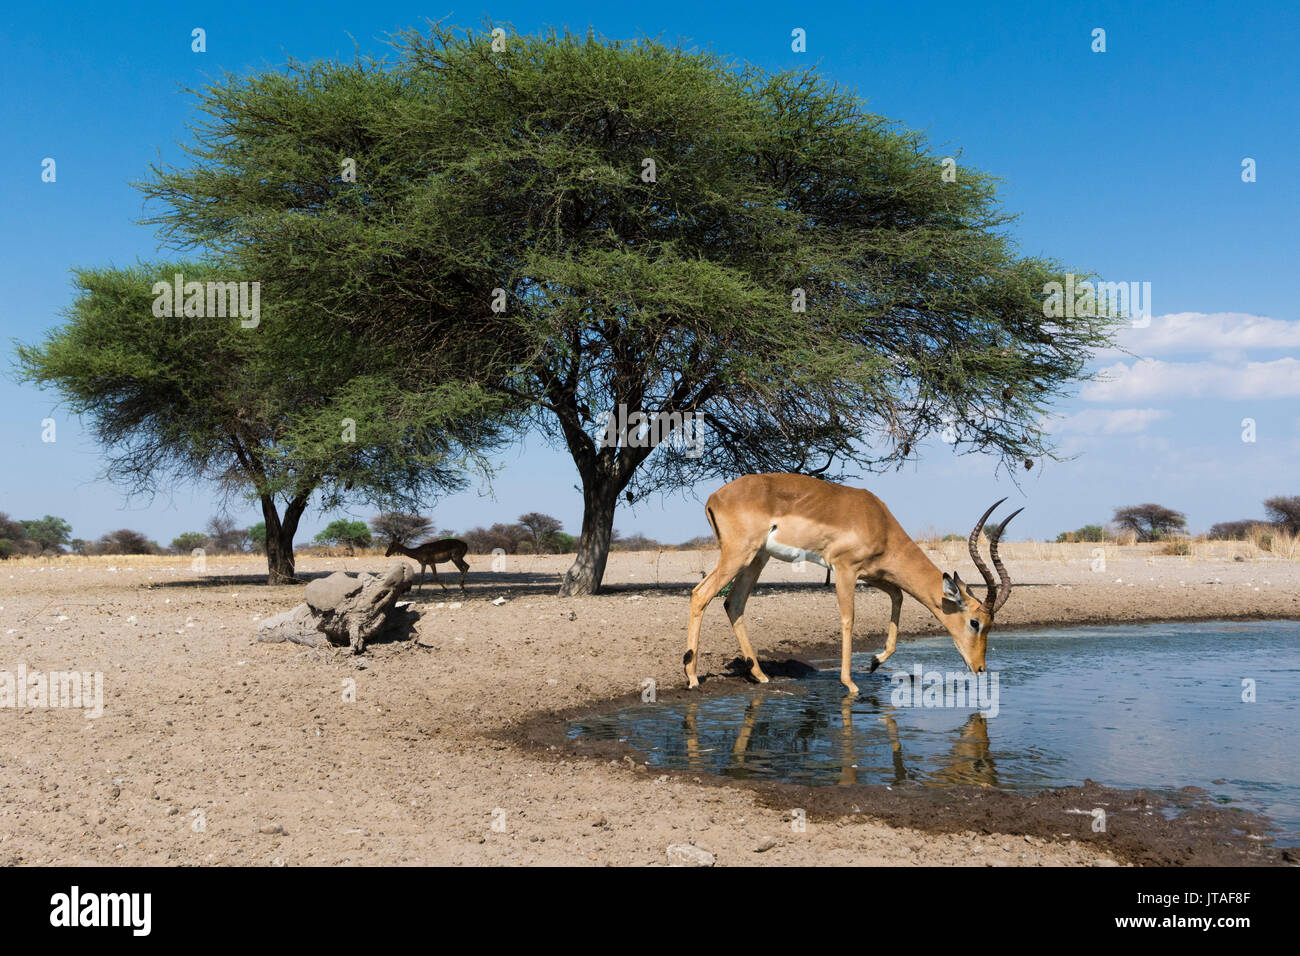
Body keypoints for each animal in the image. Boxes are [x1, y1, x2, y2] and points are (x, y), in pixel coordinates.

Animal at [684, 473, 1021, 694]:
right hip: (739, 555)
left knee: (733, 603)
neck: (879, 521)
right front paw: (851, 683)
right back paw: (692, 676)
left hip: (757, 558)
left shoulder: (872, 574)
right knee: (700, 594)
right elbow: (849, 618)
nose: (980, 668)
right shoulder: (845, 569)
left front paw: (873, 662)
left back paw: (760, 675)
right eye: (975, 622)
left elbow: (898, 597)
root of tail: (715, 497)